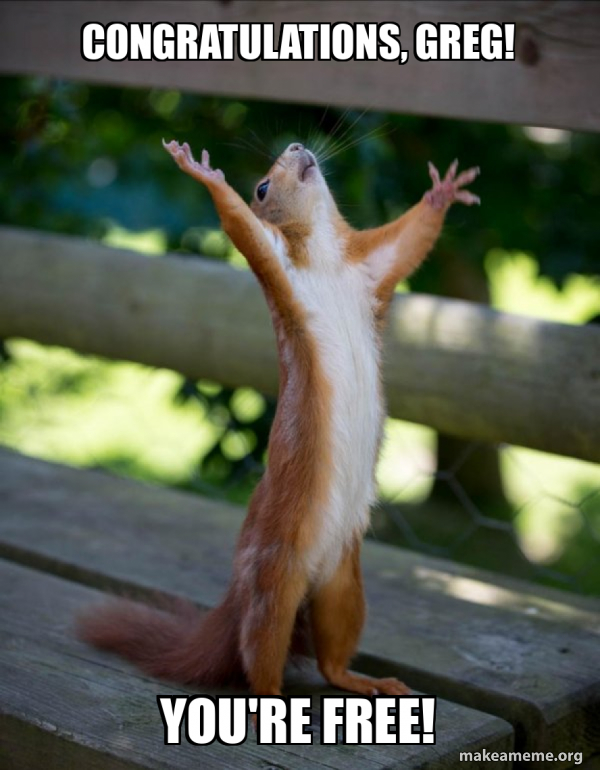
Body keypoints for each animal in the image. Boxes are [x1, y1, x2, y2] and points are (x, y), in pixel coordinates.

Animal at [78, 138, 479, 699]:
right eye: (263, 187)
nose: (296, 146)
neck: (327, 259)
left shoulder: (372, 267)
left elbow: (410, 239)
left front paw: (442, 193)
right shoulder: (277, 264)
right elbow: (240, 226)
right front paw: (203, 173)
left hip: (344, 586)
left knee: (331, 657)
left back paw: (365, 680)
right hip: (273, 584)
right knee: (260, 658)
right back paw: (268, 701)